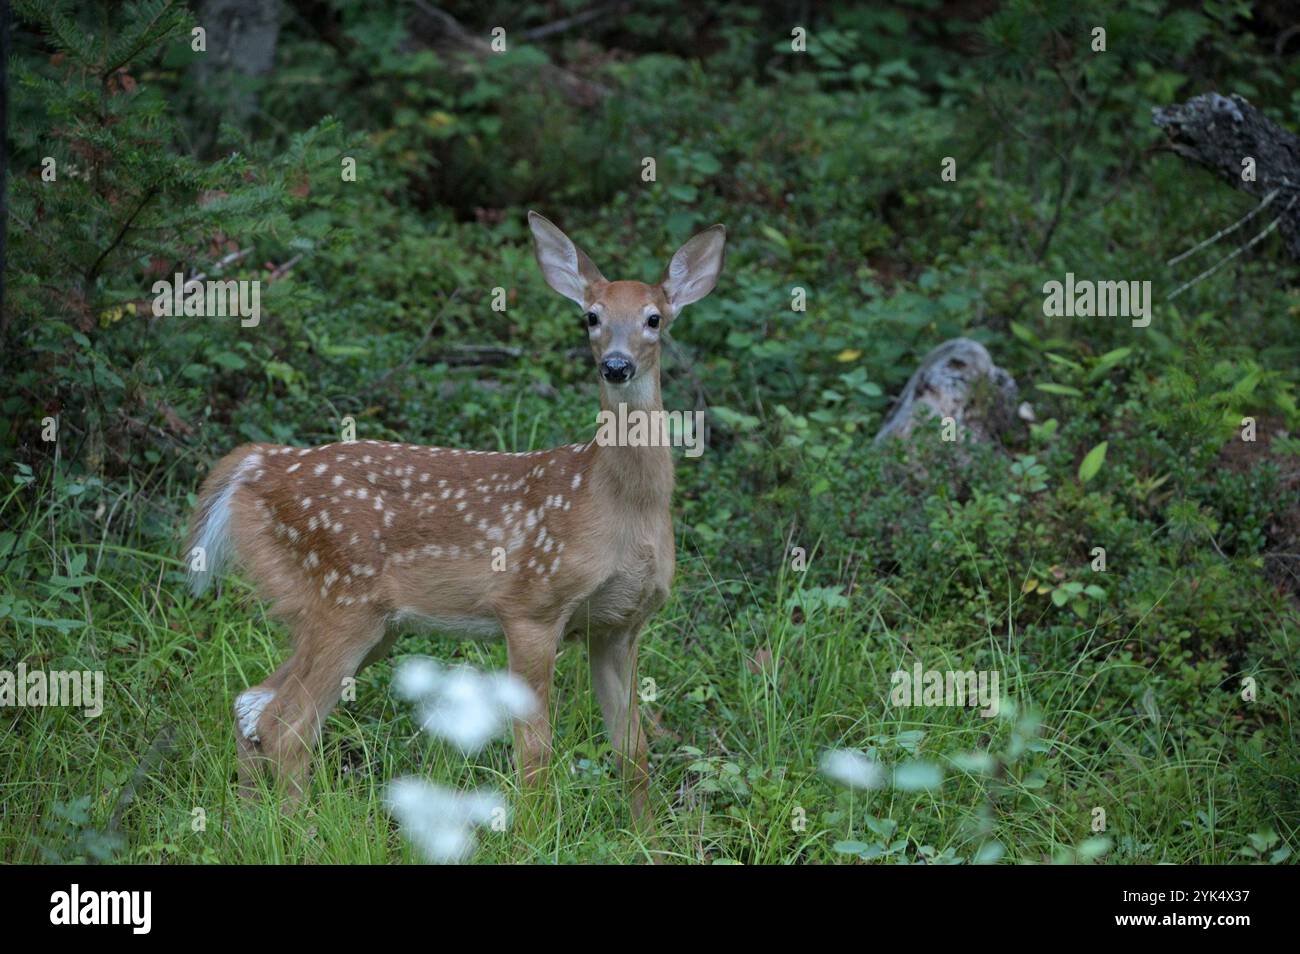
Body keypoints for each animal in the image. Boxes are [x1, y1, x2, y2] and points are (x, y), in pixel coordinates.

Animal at [186, 212, 727, 822]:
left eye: (654, 319)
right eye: (591, 316)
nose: (616, 365)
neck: (617, 505)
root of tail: (256, 465)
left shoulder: (620, 626)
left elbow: (632, 749)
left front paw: (645, 834)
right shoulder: (531, 606)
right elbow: (535, 748)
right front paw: (532, 832)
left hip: (361, 621)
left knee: (252, 703)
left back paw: (254, 819)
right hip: (339, 597)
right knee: (286, 723)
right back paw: (299, 828)